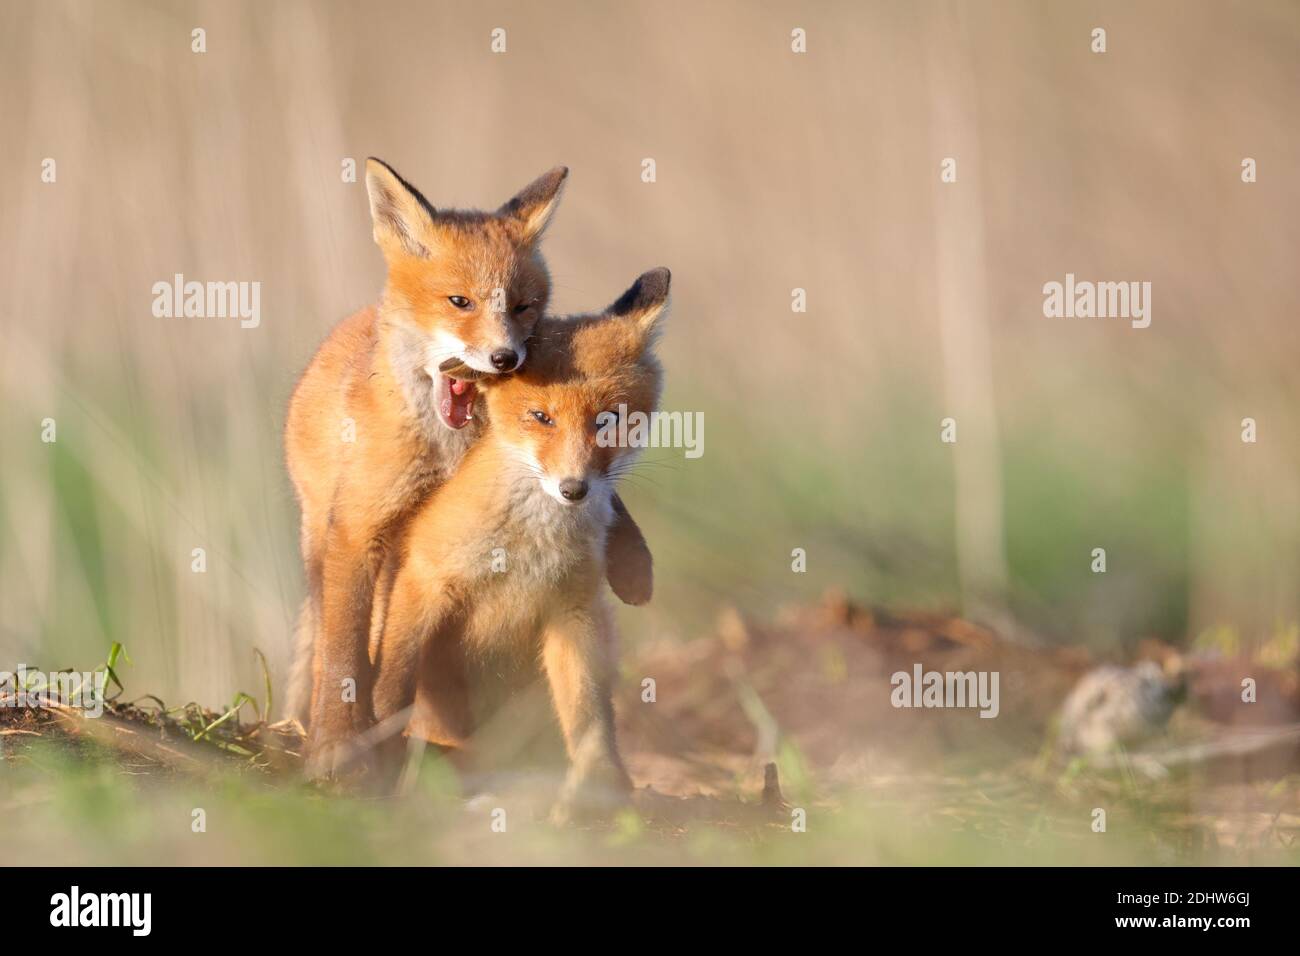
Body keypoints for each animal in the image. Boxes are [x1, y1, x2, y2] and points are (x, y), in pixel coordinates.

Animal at [284, 159, 653, 778]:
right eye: (460, 302)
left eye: (524, 306)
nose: (505, 358)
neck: (448, 450)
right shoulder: (362, 525)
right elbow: (343, 649)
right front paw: (337, 744)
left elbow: (595, 490)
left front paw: (633, 563)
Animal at [369, 268, 672, 819]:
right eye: (541, 417)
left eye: (607, 420)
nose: (573, 489)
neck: (525, 551)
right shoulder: (423, 582)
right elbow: (391, 679)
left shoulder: (573, 608)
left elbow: (588, 713)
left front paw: (596, 786)